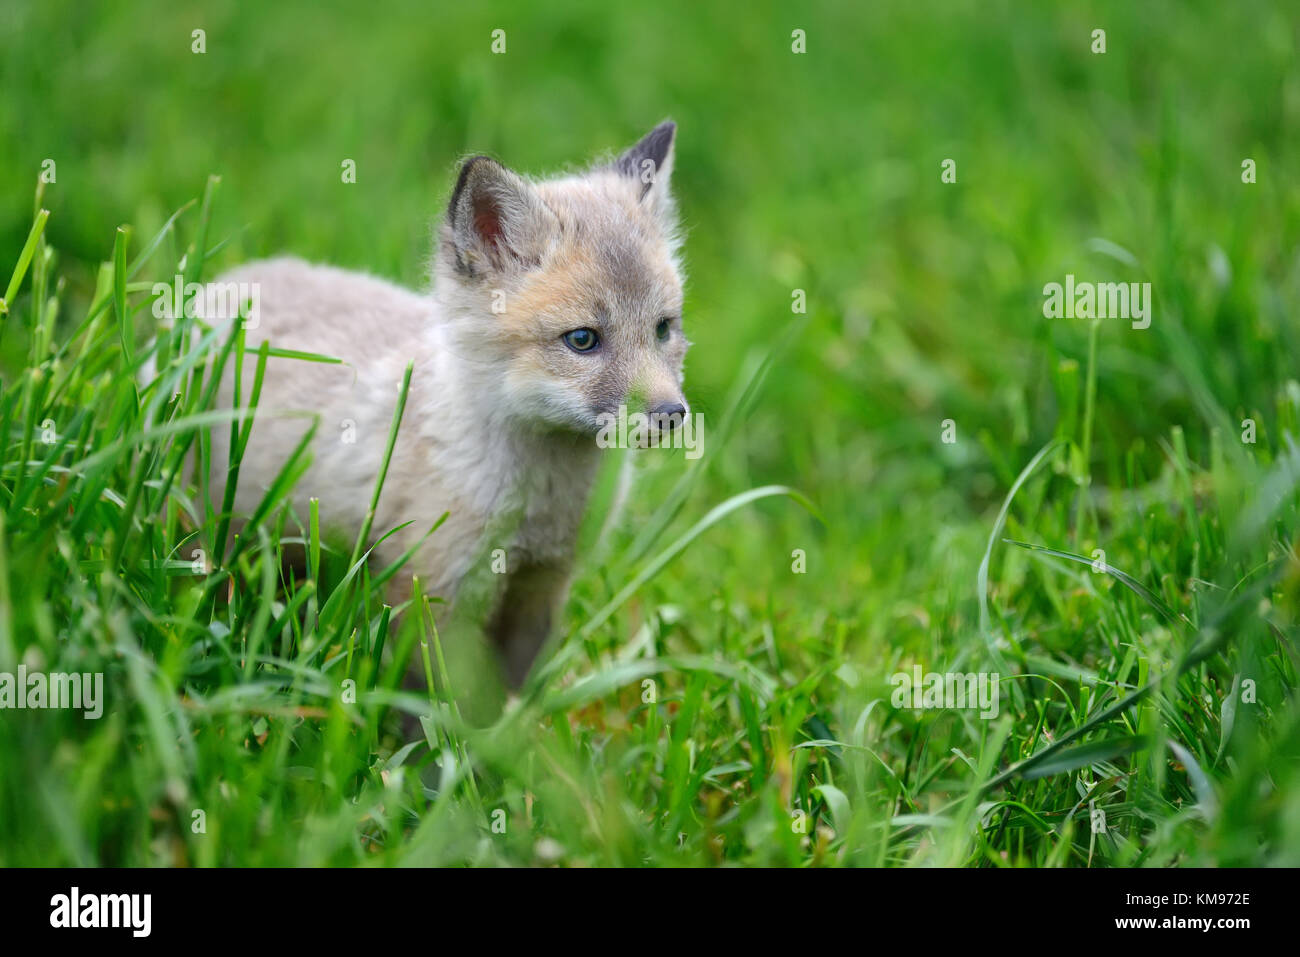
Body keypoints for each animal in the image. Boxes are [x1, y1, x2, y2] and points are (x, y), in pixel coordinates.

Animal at [194, 121, 690, 687]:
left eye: (663, 329)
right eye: (583, 340)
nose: (672, 415)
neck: (540, 506)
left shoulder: (544, 584)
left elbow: (515, 696)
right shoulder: (433, 589)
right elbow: (438, 695)